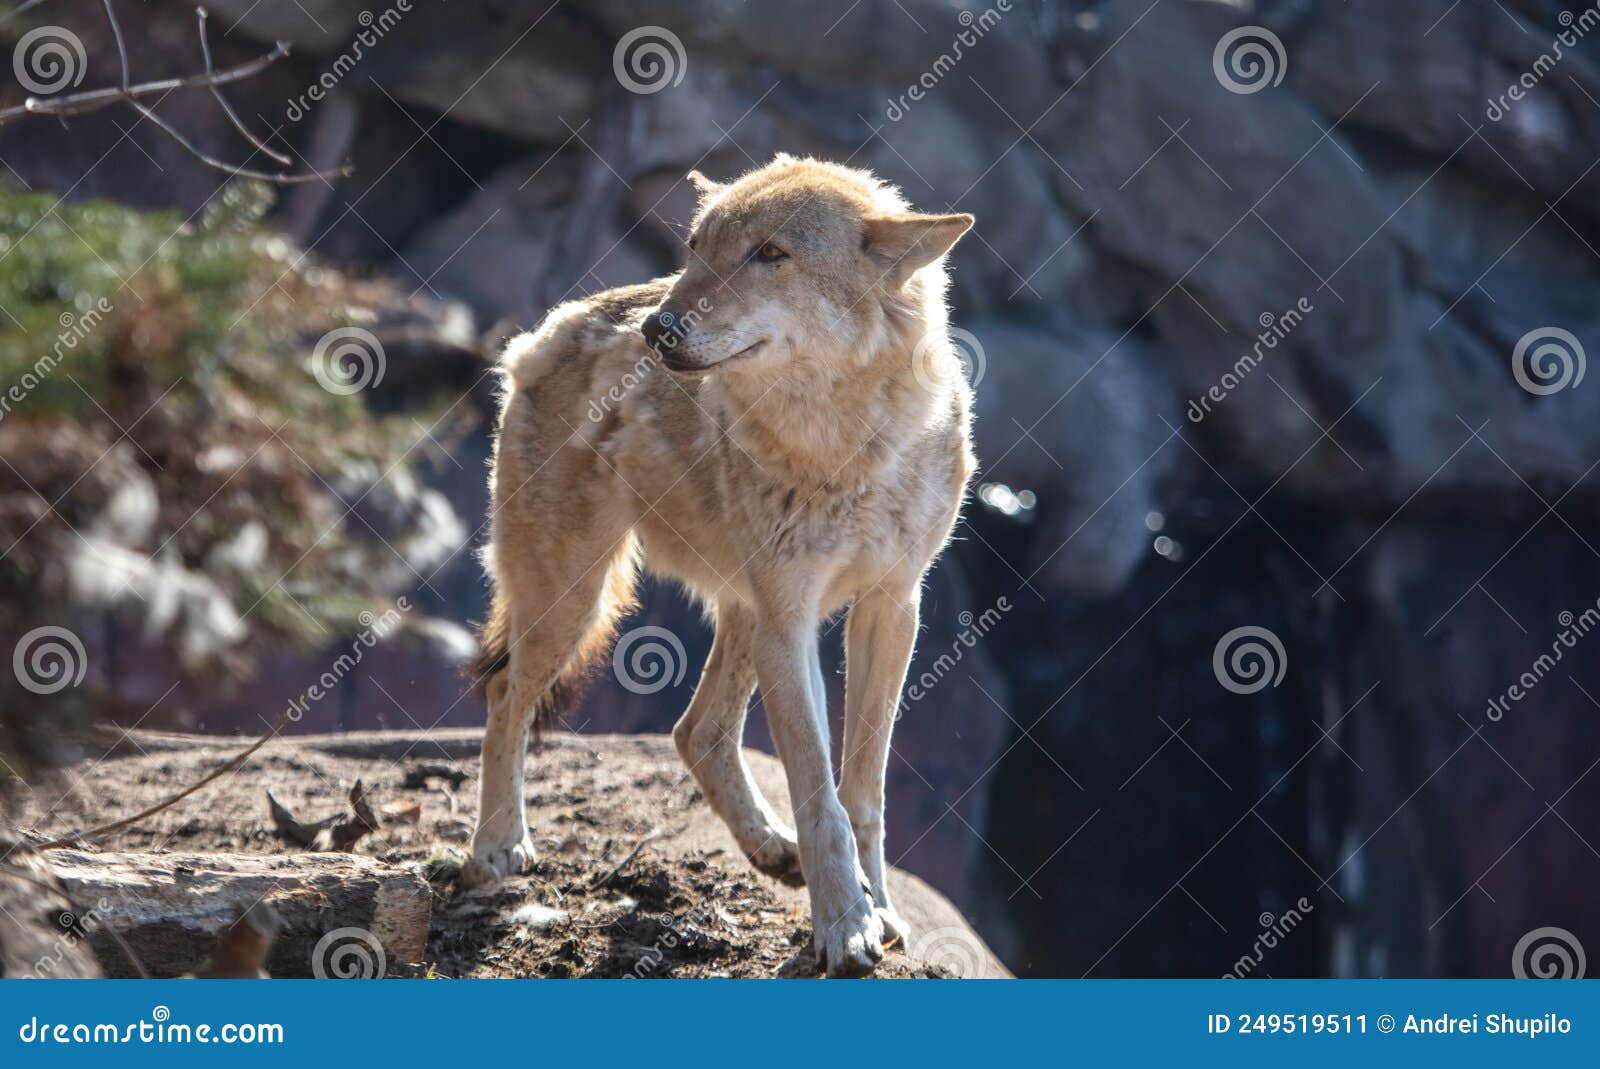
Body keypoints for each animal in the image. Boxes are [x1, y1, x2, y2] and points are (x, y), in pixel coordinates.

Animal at [462, 154, 976, 976]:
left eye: (769, 254)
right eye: (697, 248)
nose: (657, 329)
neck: (841, 448)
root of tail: (549, 327)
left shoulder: (893, 606)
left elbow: (862, 791)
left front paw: (880, 911)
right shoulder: (791, 622)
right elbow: (818, 790)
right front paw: (844, 927)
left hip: (736, 613)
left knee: (695, 731)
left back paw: (773, 850)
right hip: (577, 600)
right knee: (508, 694)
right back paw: (499, 845)